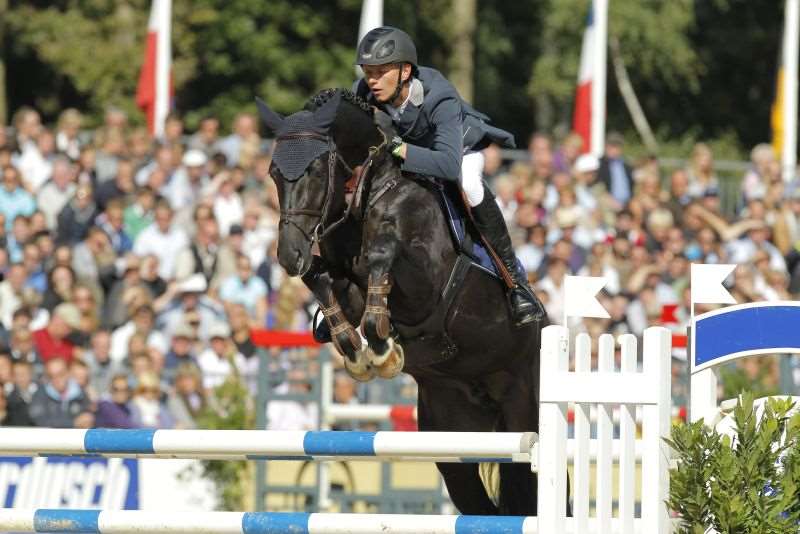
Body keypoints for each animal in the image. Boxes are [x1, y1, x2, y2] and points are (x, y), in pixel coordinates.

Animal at [256, 88, 545, 516]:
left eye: (315, 170)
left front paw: (379, 344)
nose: (289, 256)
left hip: (522, 407)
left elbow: (383, 255)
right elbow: (322, 281)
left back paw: (523, 302)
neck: (370, 191)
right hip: (452, 431)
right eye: (274, 174)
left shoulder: (425, 287)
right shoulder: (344, 282)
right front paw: (355, 348)